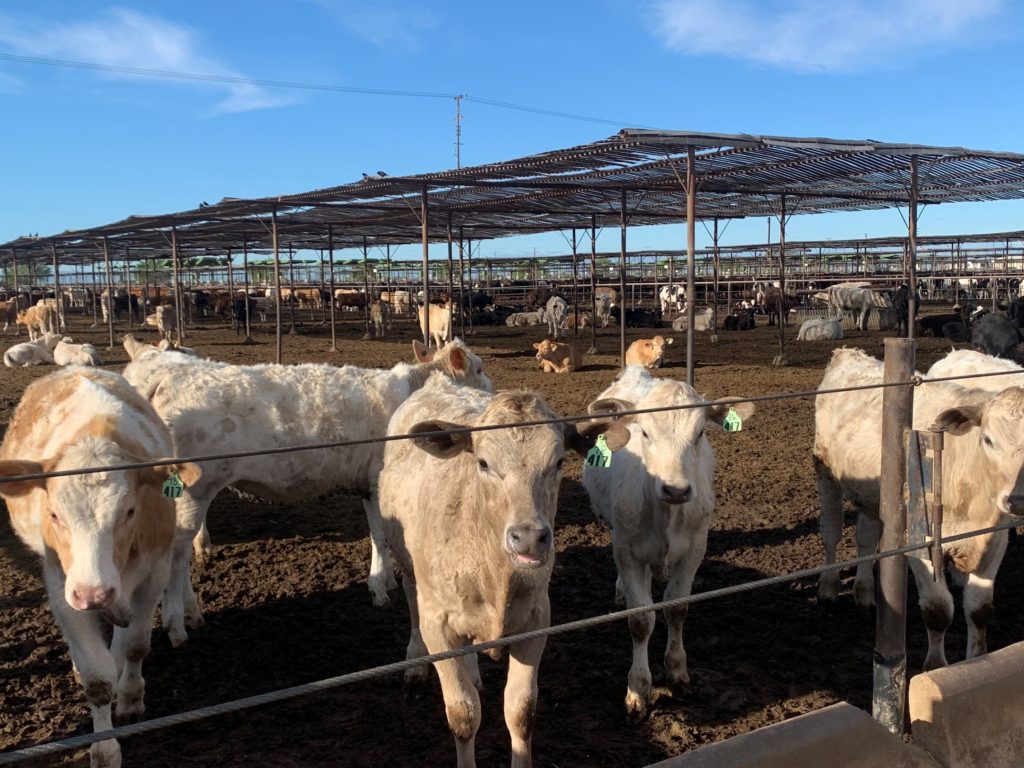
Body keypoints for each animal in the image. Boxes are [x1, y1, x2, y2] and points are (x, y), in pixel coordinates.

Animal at [0, 367, 200, 768]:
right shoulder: (63, 587)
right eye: (54, 514)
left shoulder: (152, 575)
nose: (93, 593)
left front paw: (131, 697)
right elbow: (96, 679)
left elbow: (136, 645)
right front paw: (105, 749)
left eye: (130, 511)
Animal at [122, 339, 492, 646]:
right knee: (176, 554)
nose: (492, 388)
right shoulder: (377, 478)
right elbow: (380, 535)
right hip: (193, 491)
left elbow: (378, 533)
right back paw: (177, 624)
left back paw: (190, 613)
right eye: (478, 368)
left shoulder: (366, 483)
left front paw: (382, 582)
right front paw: (380, 587)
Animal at [378, 375, 628, 767]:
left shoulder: (537, 619)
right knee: (409, 597)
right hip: (407, 565)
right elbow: (463, 714)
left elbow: (521, 711)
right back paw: (415, 662)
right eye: (483, 463)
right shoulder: (439, 625)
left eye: (559, 461)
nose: (528, 537)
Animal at [582, 366, 755, 717]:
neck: (666, 514)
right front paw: (638, 688)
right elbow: (641, 619)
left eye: (700, 433)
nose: (676, 489)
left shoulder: (695, 549)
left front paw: (676, 669)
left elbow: (676, 607)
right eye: (645, 433)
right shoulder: (627, 551)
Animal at [814, 347, 1024, 669]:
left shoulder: (995, 537)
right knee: (831, 532)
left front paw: (977, 660)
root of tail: (849, 355)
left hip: (872, 495)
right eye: (989, 439)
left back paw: (865, 593)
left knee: (866, 536)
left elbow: (979, 608)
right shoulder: (917, 540)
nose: (1018, 500)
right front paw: (934, 667)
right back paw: (828, 587)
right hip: (825, 472)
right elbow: (938, 610)